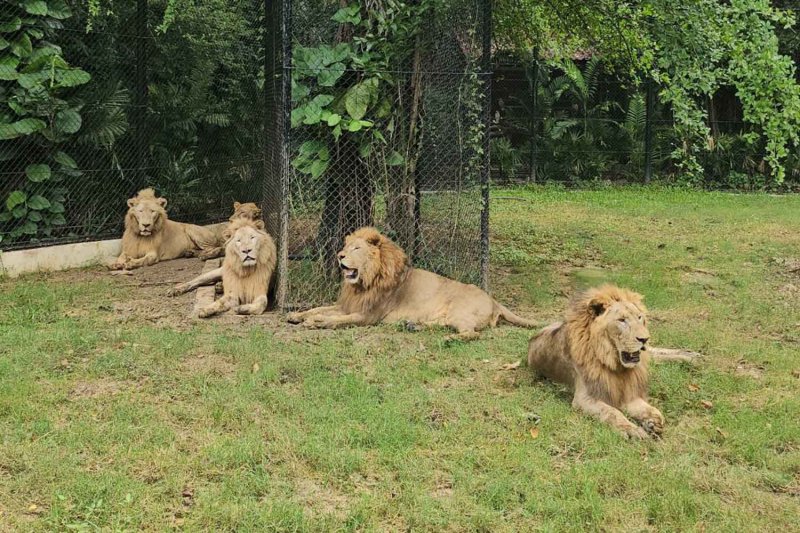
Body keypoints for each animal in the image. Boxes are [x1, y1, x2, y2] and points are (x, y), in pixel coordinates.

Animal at [287, 227, 539, 339]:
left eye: (356, 248)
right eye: (346, 247)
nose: (339, 255)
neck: (363, 283)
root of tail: (493, 300)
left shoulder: (367, 315)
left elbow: (337, 320)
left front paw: (316, 322)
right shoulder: (347, 304)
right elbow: (320, 307)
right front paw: (298, 315)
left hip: (461, 311)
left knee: (471, 333)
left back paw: (449, 339)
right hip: (449, 316)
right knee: (443, 324)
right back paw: (413, 325)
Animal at [527, 284, 699, 439]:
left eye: (639, 317)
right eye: (622, 320)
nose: (644, 339)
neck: (614, 362)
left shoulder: (629, 392)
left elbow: (648, 408)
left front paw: (653, 421)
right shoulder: (585, 398)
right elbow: (612, 412)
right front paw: (633, 430)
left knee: (653, 352)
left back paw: (691, 356)